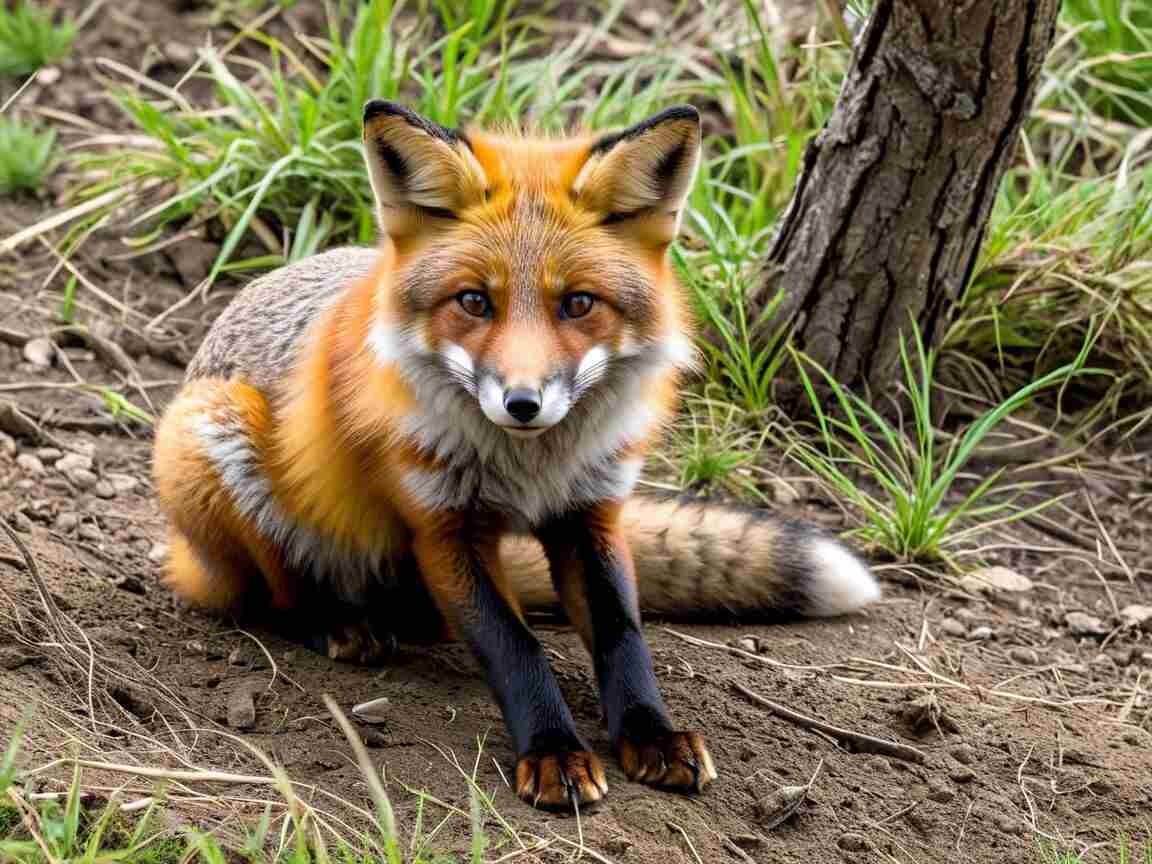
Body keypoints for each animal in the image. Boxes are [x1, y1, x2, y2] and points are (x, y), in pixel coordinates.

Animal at [152, 101, 880, 811]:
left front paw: (652, 734)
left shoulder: (592, 511)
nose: (522, 402)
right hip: (215, 436)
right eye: (475, 301)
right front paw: (554, 752)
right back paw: (336, 620)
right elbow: (516, 646)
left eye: (578, 303)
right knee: (270, 596)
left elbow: (623, 635)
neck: (533, 469)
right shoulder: (444, 527)